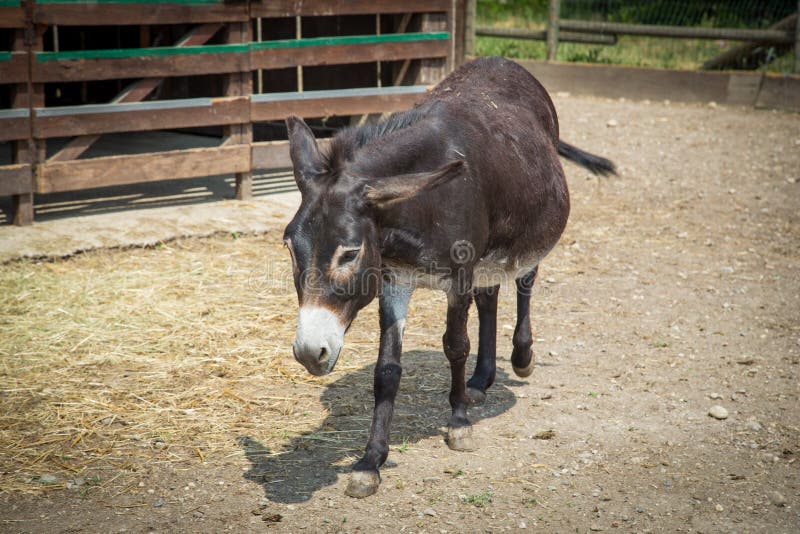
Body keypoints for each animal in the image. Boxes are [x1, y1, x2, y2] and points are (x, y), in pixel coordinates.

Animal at [282, 56, 615, 498]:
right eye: (289, 246)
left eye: (349, 253)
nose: (309, 353)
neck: (416, 207)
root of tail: (504, 62)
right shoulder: (394, 280)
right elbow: (386, 370)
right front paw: (371, 461)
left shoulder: (458, 277)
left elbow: (456, 345)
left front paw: (458, 424)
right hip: (486, 258)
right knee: (490, 297)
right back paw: (481, 379)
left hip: (527, 233)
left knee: (524, 283)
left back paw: (521, 357)